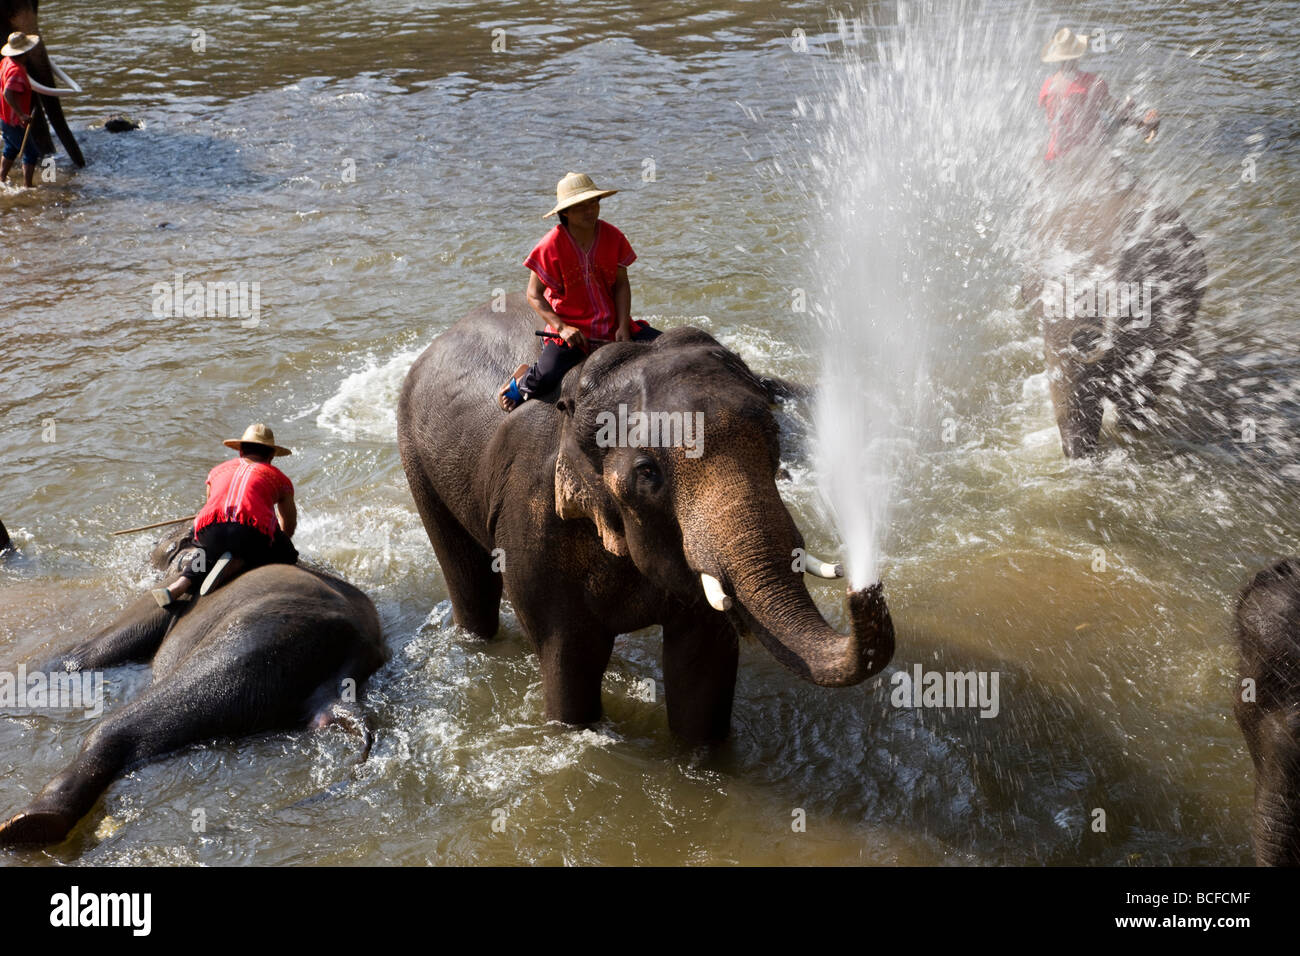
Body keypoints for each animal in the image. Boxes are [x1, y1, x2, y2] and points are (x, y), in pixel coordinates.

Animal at [0, 528, 387, 847]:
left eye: (171, 543)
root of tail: (337, 690)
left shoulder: (164, 603)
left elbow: (84, 655)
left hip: (259, 639)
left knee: (120, 726)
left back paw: (27, 825)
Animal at [396, 294, 895, 744]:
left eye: (773, 439)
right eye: (647, 472)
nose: (864, 585)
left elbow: (702, 668)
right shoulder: (531, 519)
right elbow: (569, 656)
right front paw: (571, 727)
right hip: (416, 455)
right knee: (467, 577)